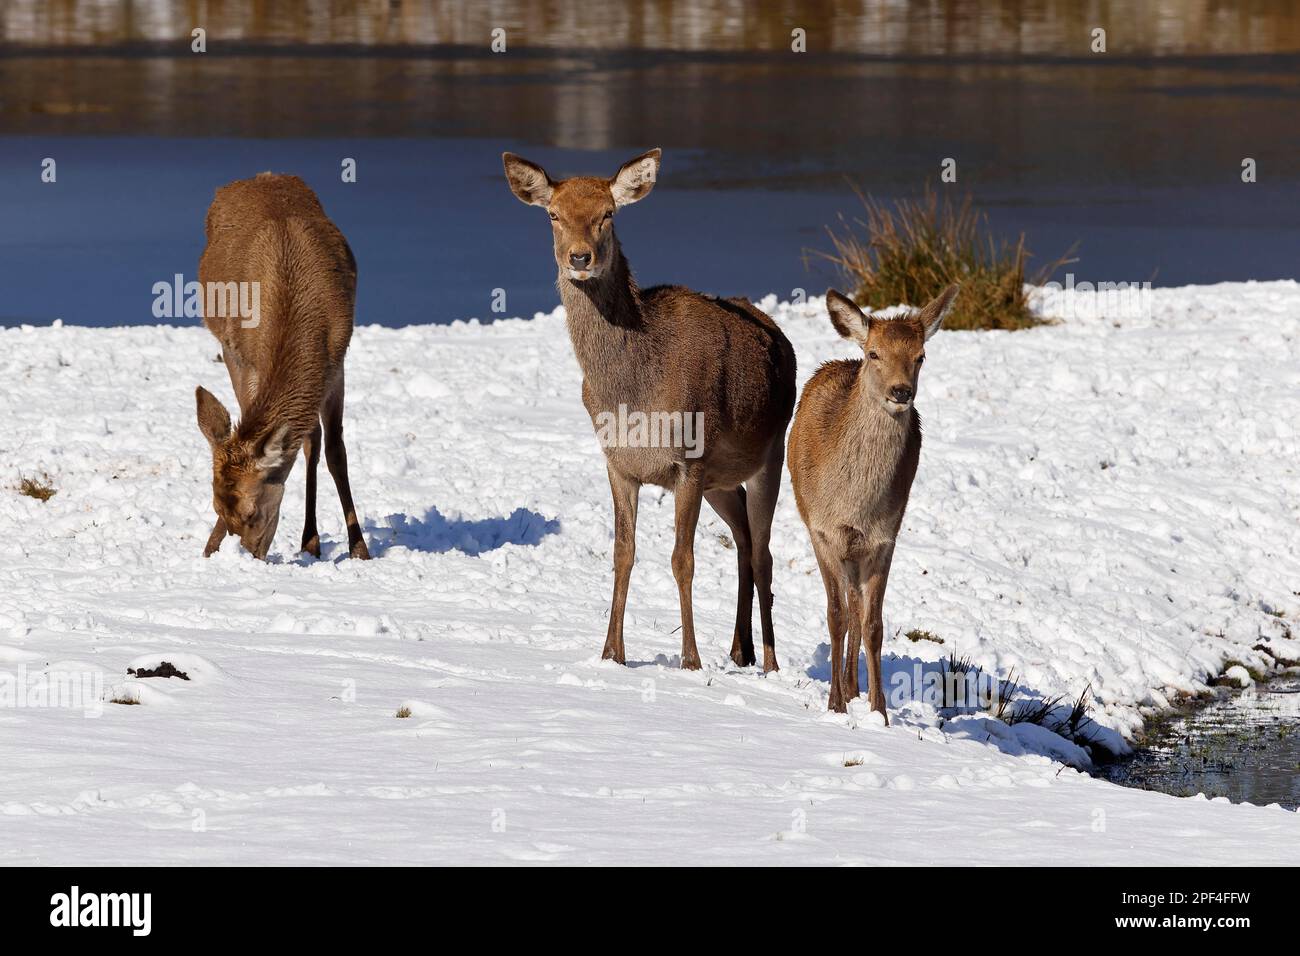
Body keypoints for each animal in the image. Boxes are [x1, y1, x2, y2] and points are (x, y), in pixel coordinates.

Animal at [194, 172, 370, 562]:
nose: (247, 557)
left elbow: (335, 449)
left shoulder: (337, 360)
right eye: (217, 508)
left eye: (250, 512)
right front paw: (211, 545)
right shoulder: (242, 357)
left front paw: (359, 549)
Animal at [503, 148, 796, 672]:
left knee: (763, 550)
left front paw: (690, 660)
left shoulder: (691, 460)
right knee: (743, 536)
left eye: (608, 214)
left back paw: (769, 661)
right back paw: (738, 649)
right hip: (723, 480)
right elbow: (623, 551)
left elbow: (683, 559)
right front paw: (611, 653)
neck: (632, 394)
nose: (580, 257)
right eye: (553, 215)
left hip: (771, 451)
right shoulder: (620, 462)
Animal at [787, 284, 958, 719]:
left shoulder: (884, 538)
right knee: (846, 607)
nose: (901, 392)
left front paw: (878, 710)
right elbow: (835, 616)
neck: (854, 504)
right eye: (875, 353)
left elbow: (873, 624)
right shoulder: (823, 531)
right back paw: (843, 690)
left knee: (856, 607)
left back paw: (853, 686)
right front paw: (834, 705)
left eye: (920, 355)